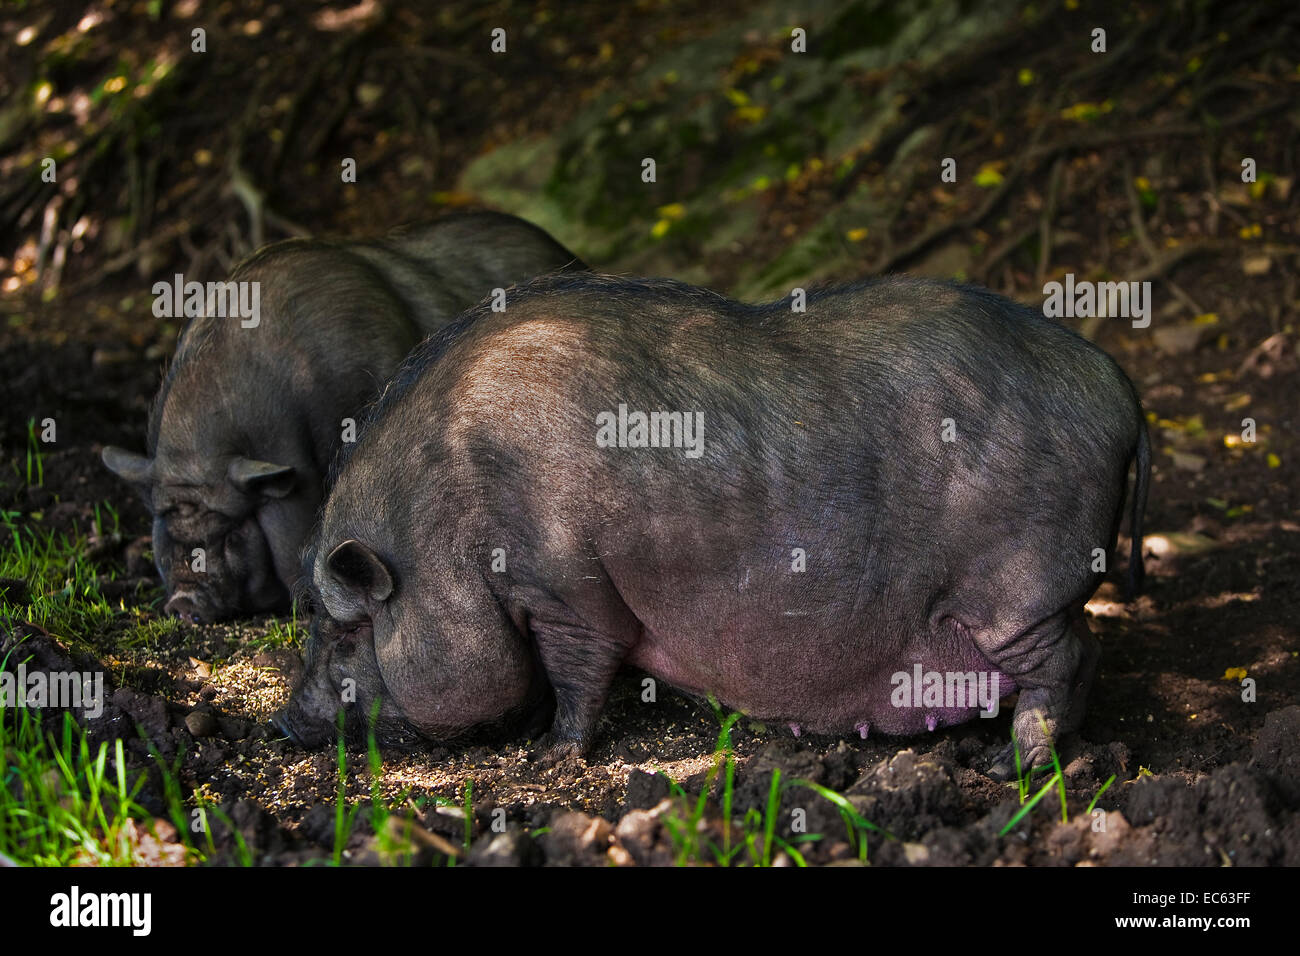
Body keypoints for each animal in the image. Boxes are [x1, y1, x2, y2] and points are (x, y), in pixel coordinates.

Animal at [273, 274, 1149, 775]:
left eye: (342, 626)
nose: (282, 722)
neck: (448, 528)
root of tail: (1114, 381)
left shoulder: (567, 586)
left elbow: (578, 672)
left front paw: (548, 758)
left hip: (1020, 588)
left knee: (1071, 658)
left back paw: (1014, 771)